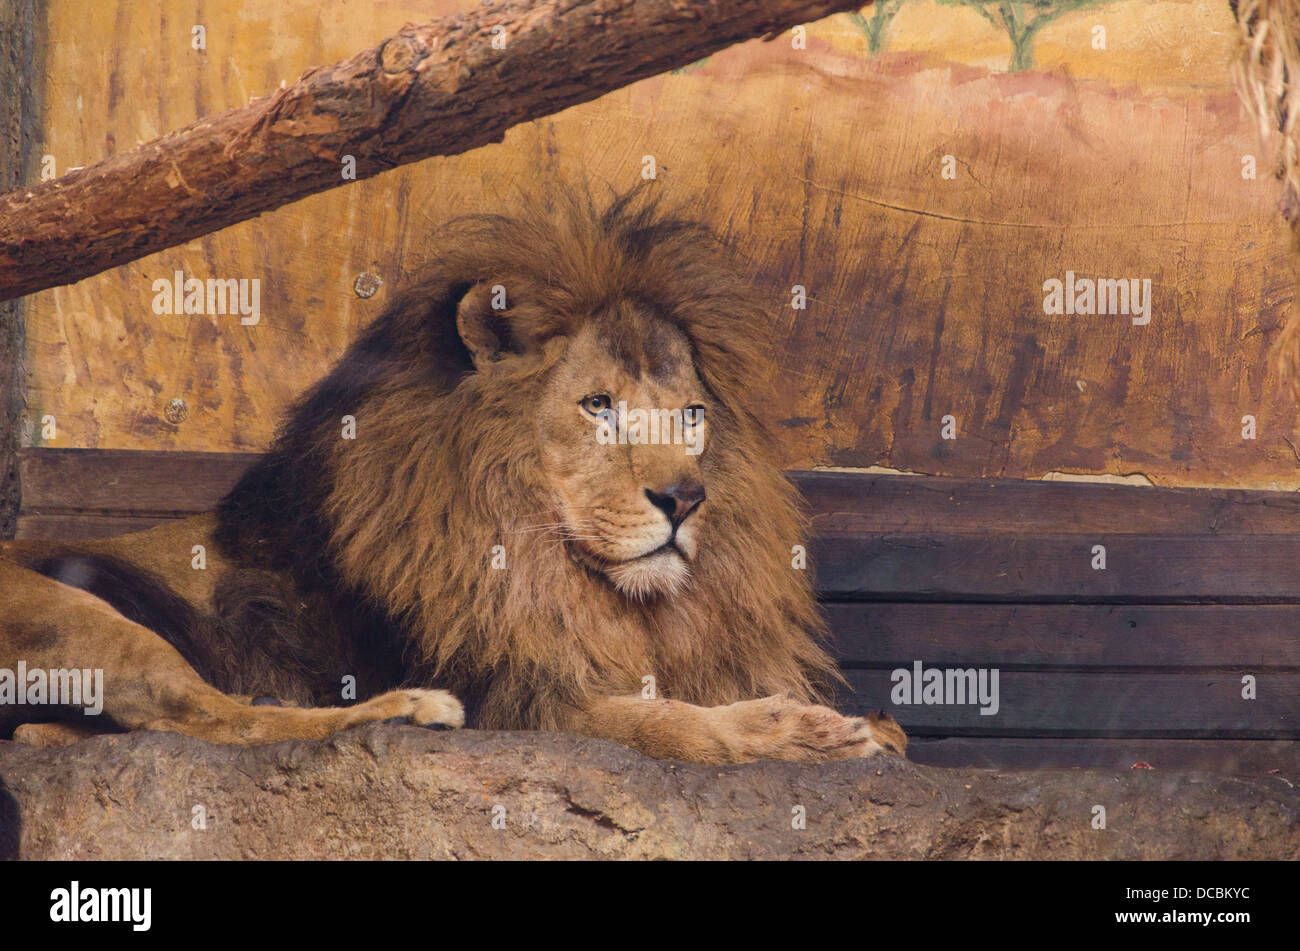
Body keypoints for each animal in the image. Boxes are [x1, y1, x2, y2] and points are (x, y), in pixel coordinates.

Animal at [0, 188, 905, 764]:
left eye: (690, 415)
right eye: (598, 405)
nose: (685, 498)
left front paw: (870, 724)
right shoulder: (522, 699)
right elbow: (664, 725)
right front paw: (795, 731)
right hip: (76, 616)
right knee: (206, 717)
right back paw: (407, 706)